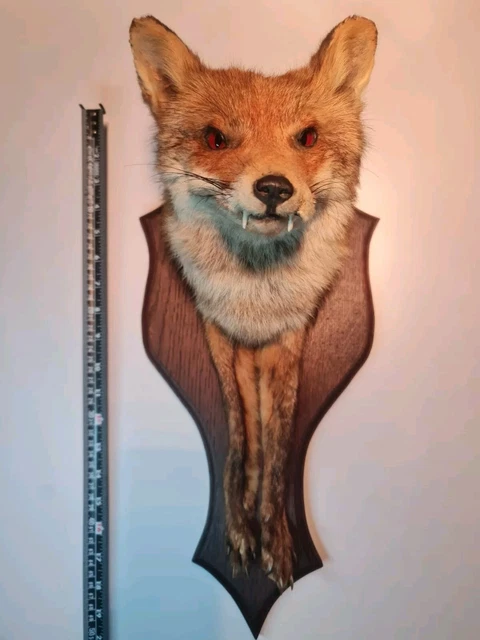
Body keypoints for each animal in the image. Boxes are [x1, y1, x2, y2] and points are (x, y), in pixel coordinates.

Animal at [130, 14, 377, 591]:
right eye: (215, 138)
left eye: (307, 137)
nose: (273, 188)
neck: (256, 302)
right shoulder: (219, 335)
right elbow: (241, 441)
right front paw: (241, 532)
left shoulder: (289, 340)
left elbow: (278, 448)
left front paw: (276, 539)